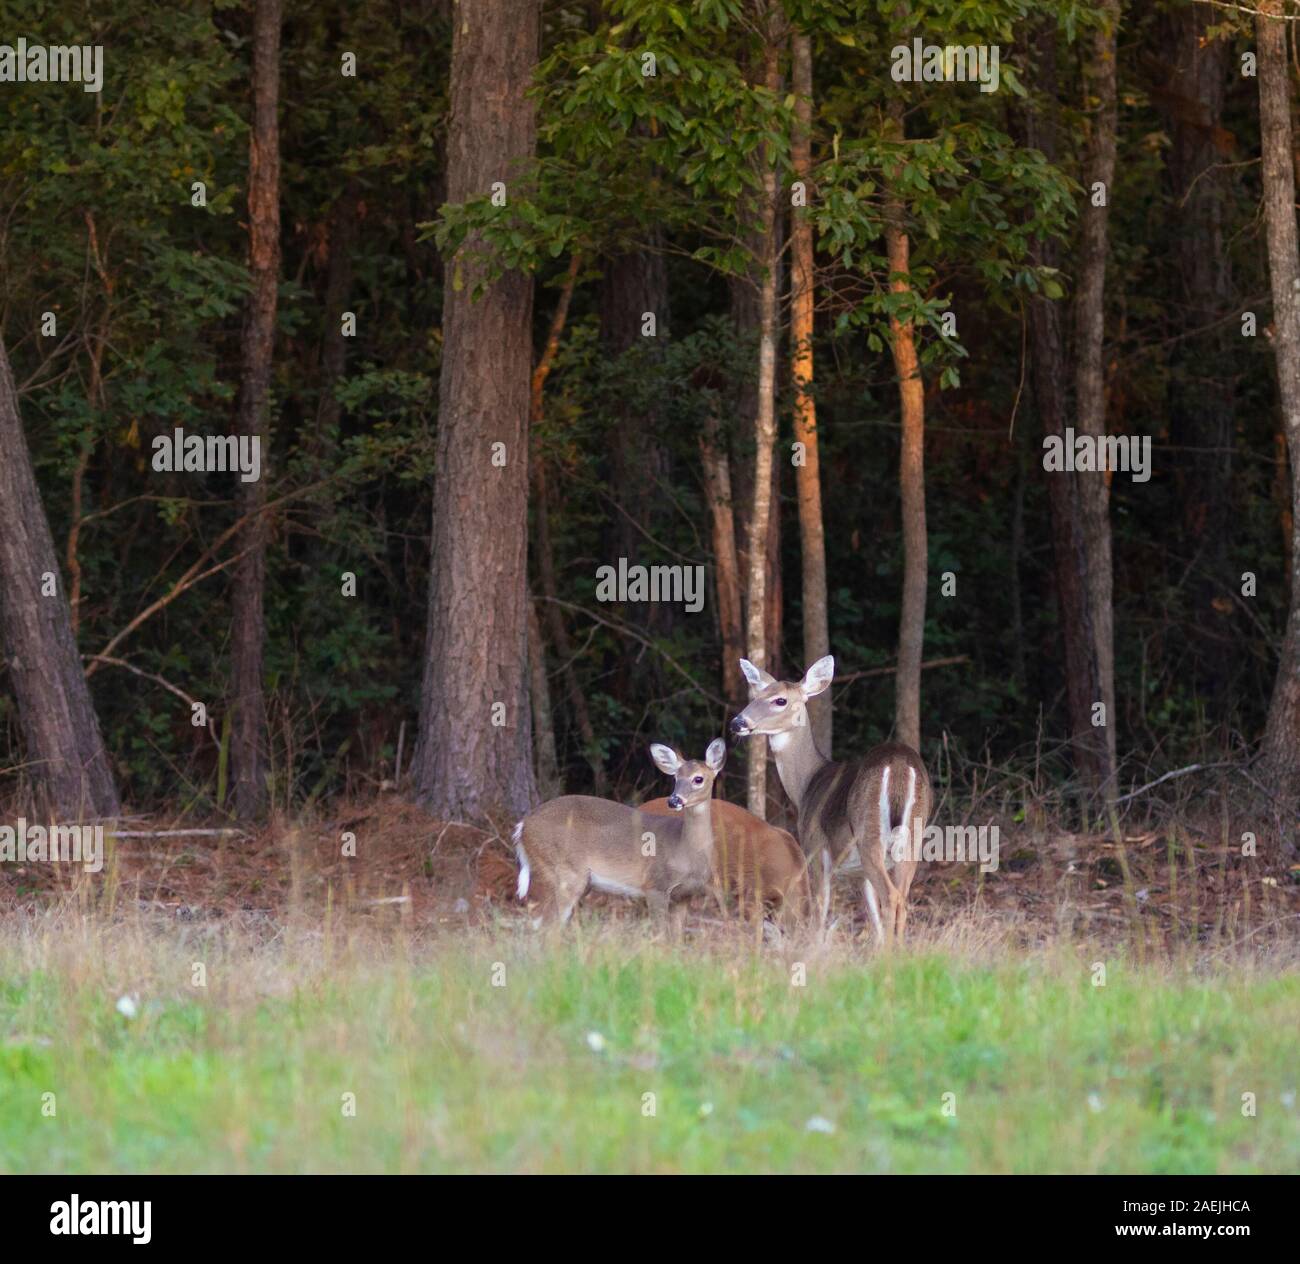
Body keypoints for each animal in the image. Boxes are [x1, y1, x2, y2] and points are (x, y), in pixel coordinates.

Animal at [513, 739, 727, 926]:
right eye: (675, 777)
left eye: (698, 779)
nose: (674, 800)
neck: (685, 851)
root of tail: (523, 826)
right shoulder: (655, 885)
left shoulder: (685, 896)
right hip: (563, 871)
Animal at [729, 655, 933, 944]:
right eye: (755, 695)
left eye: (780, 700)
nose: (738, 723)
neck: (806, 786)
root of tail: (900, 766)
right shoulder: (858, 873)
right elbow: (874, 920)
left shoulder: (816, 851)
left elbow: (819, 915)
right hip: (912, 838)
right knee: (901, 898)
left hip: (870, 836)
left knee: (892, 897)